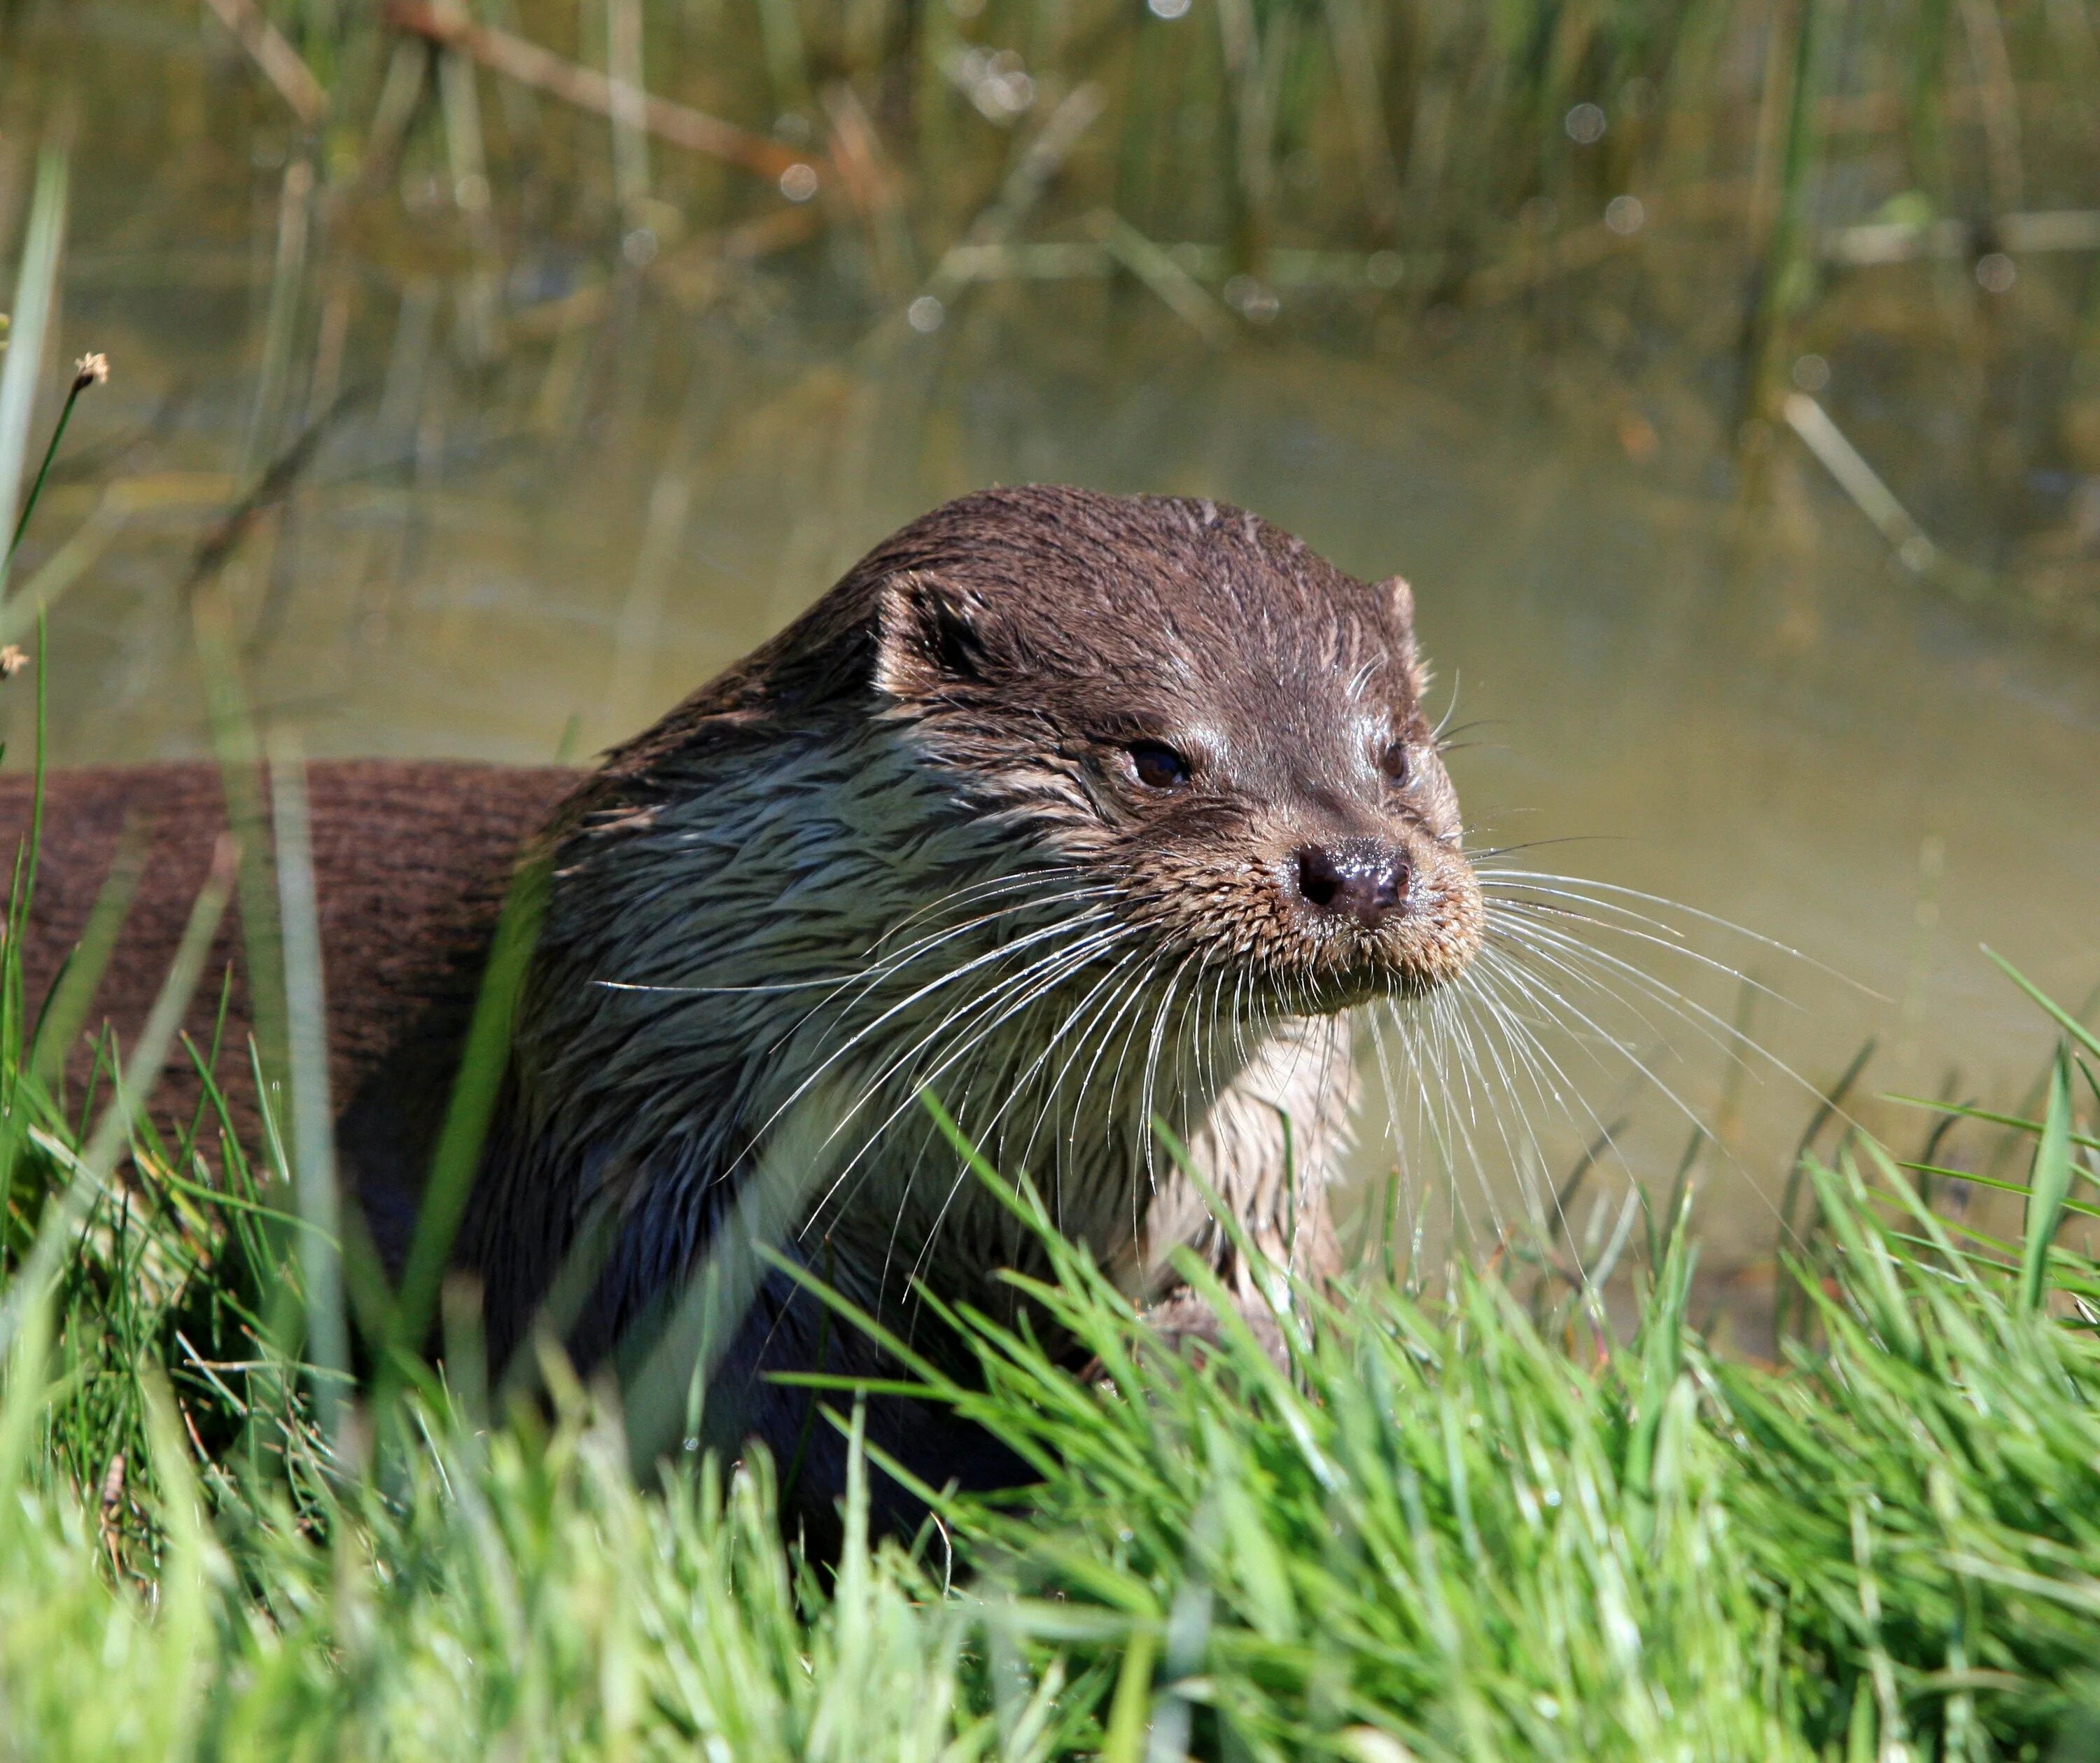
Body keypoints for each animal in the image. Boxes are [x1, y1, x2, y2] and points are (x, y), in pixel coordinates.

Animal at [4, 483, 1478, 1529]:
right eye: (1158, 757)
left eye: (1395, 752)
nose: (1361, 867)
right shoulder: (649, 1146)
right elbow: (742, 1393)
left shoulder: (1255, 1164)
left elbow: (1278, 1310)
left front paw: (1200, 1389)